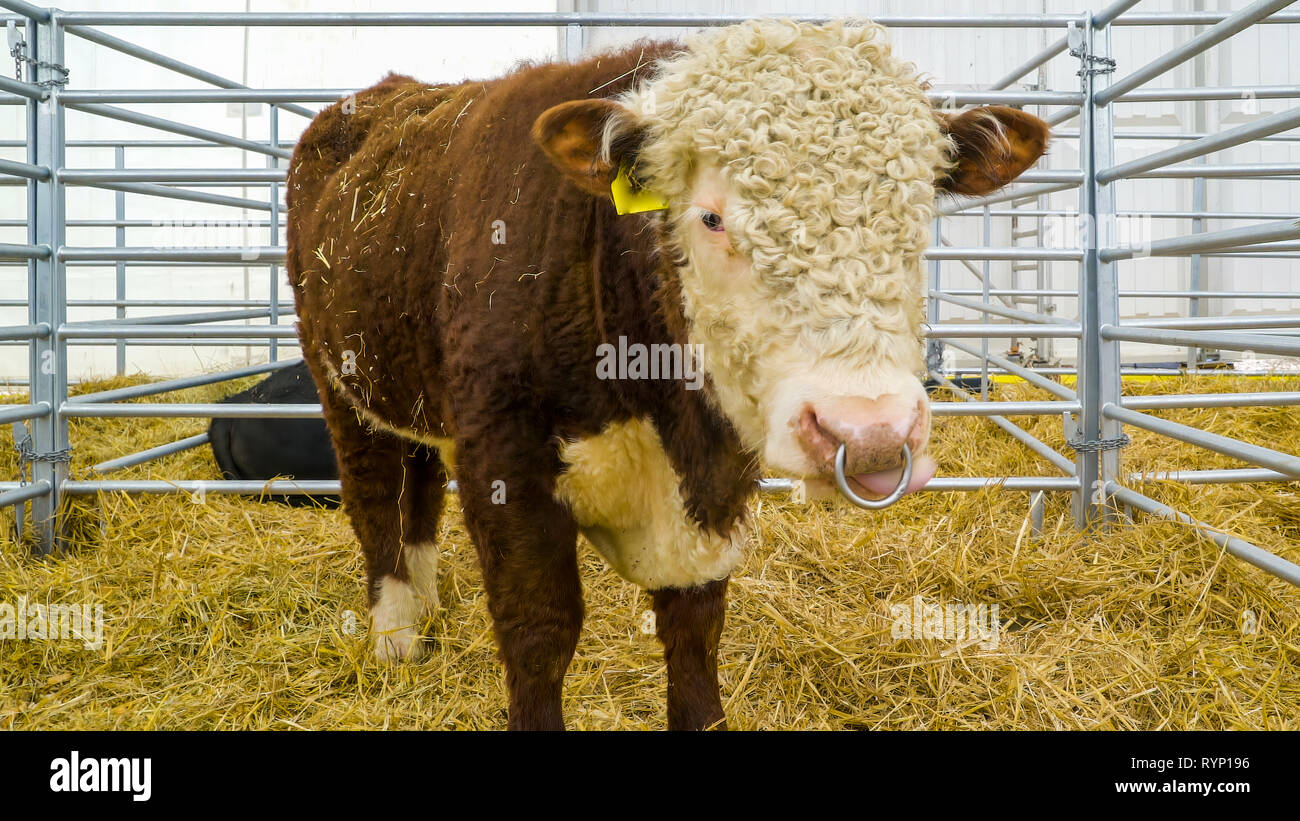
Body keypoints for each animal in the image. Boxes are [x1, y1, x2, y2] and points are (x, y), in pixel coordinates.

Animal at [286, 18, 1048, 730]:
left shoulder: (712, 485)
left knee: (417, 490)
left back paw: (424, 602)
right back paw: (395, 632)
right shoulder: (503, 458)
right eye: (710, 217)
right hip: (339, 382)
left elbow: (694, 627)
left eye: (920, 215)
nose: (869, 433)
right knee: (375, 497)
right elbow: (539, 628)